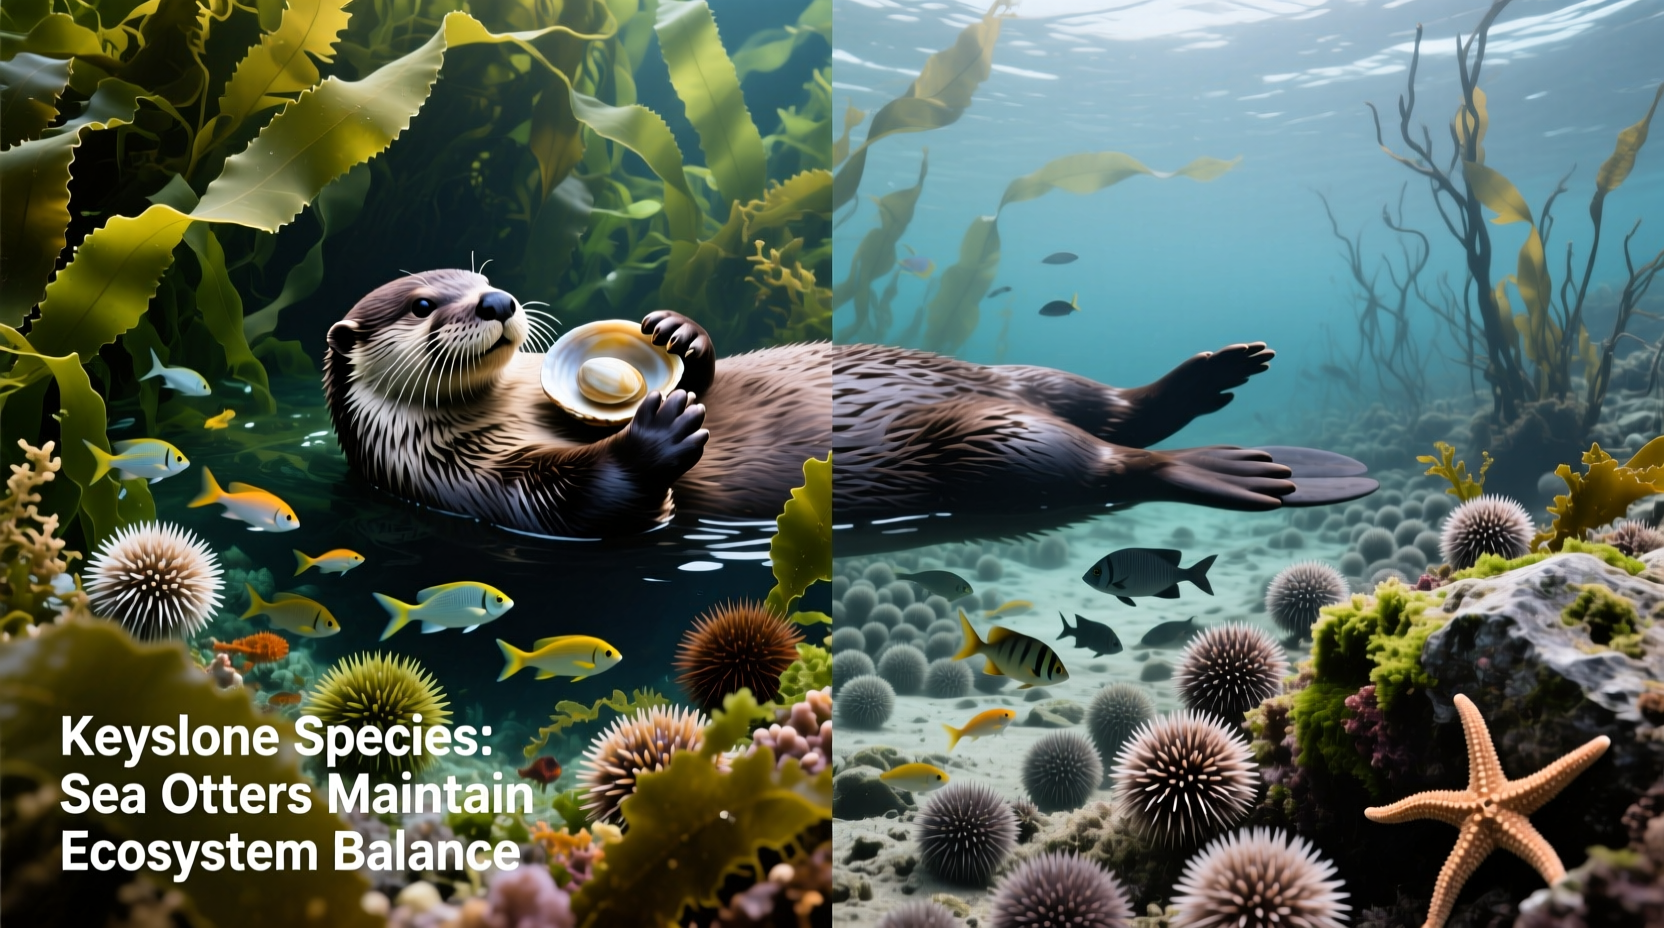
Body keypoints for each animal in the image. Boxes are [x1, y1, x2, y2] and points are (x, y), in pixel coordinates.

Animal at [324, 270, 1372, 545]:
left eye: (481, 277)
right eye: (425, 303)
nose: (497, 304)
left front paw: (679, 336)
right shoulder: (472, 488)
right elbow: (597, 506)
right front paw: (660, 429)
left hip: (1015, 378)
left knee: (1108, 404)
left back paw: (1212, 378)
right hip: (986, 443)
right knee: (1116, 463)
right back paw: (1245, 470)